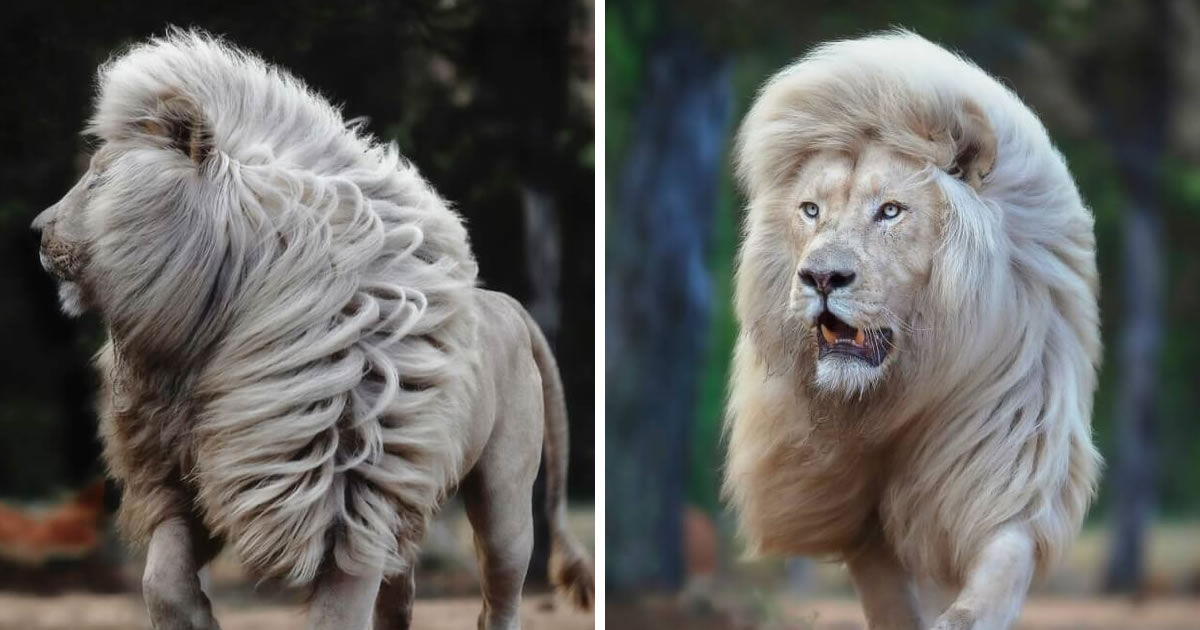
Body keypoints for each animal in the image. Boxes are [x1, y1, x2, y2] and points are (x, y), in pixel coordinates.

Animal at [32, 31, 592, 630]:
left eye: (100, 178)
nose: (37, 229)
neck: (205, 335)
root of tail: (506, 302)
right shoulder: (191, 478)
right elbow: (161, 581)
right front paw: (197, 616)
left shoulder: (348, 497)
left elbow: (335, 614)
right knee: (400, 594)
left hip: (503, 496)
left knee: (499, 595)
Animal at [723, 31, 1100, 630]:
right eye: (811, 210)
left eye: (890, 211)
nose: (821, 277)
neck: (900, 391)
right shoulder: (853, 512)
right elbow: (888, 596)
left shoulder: (1010, 460)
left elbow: (1000, 565)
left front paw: (963, 617)